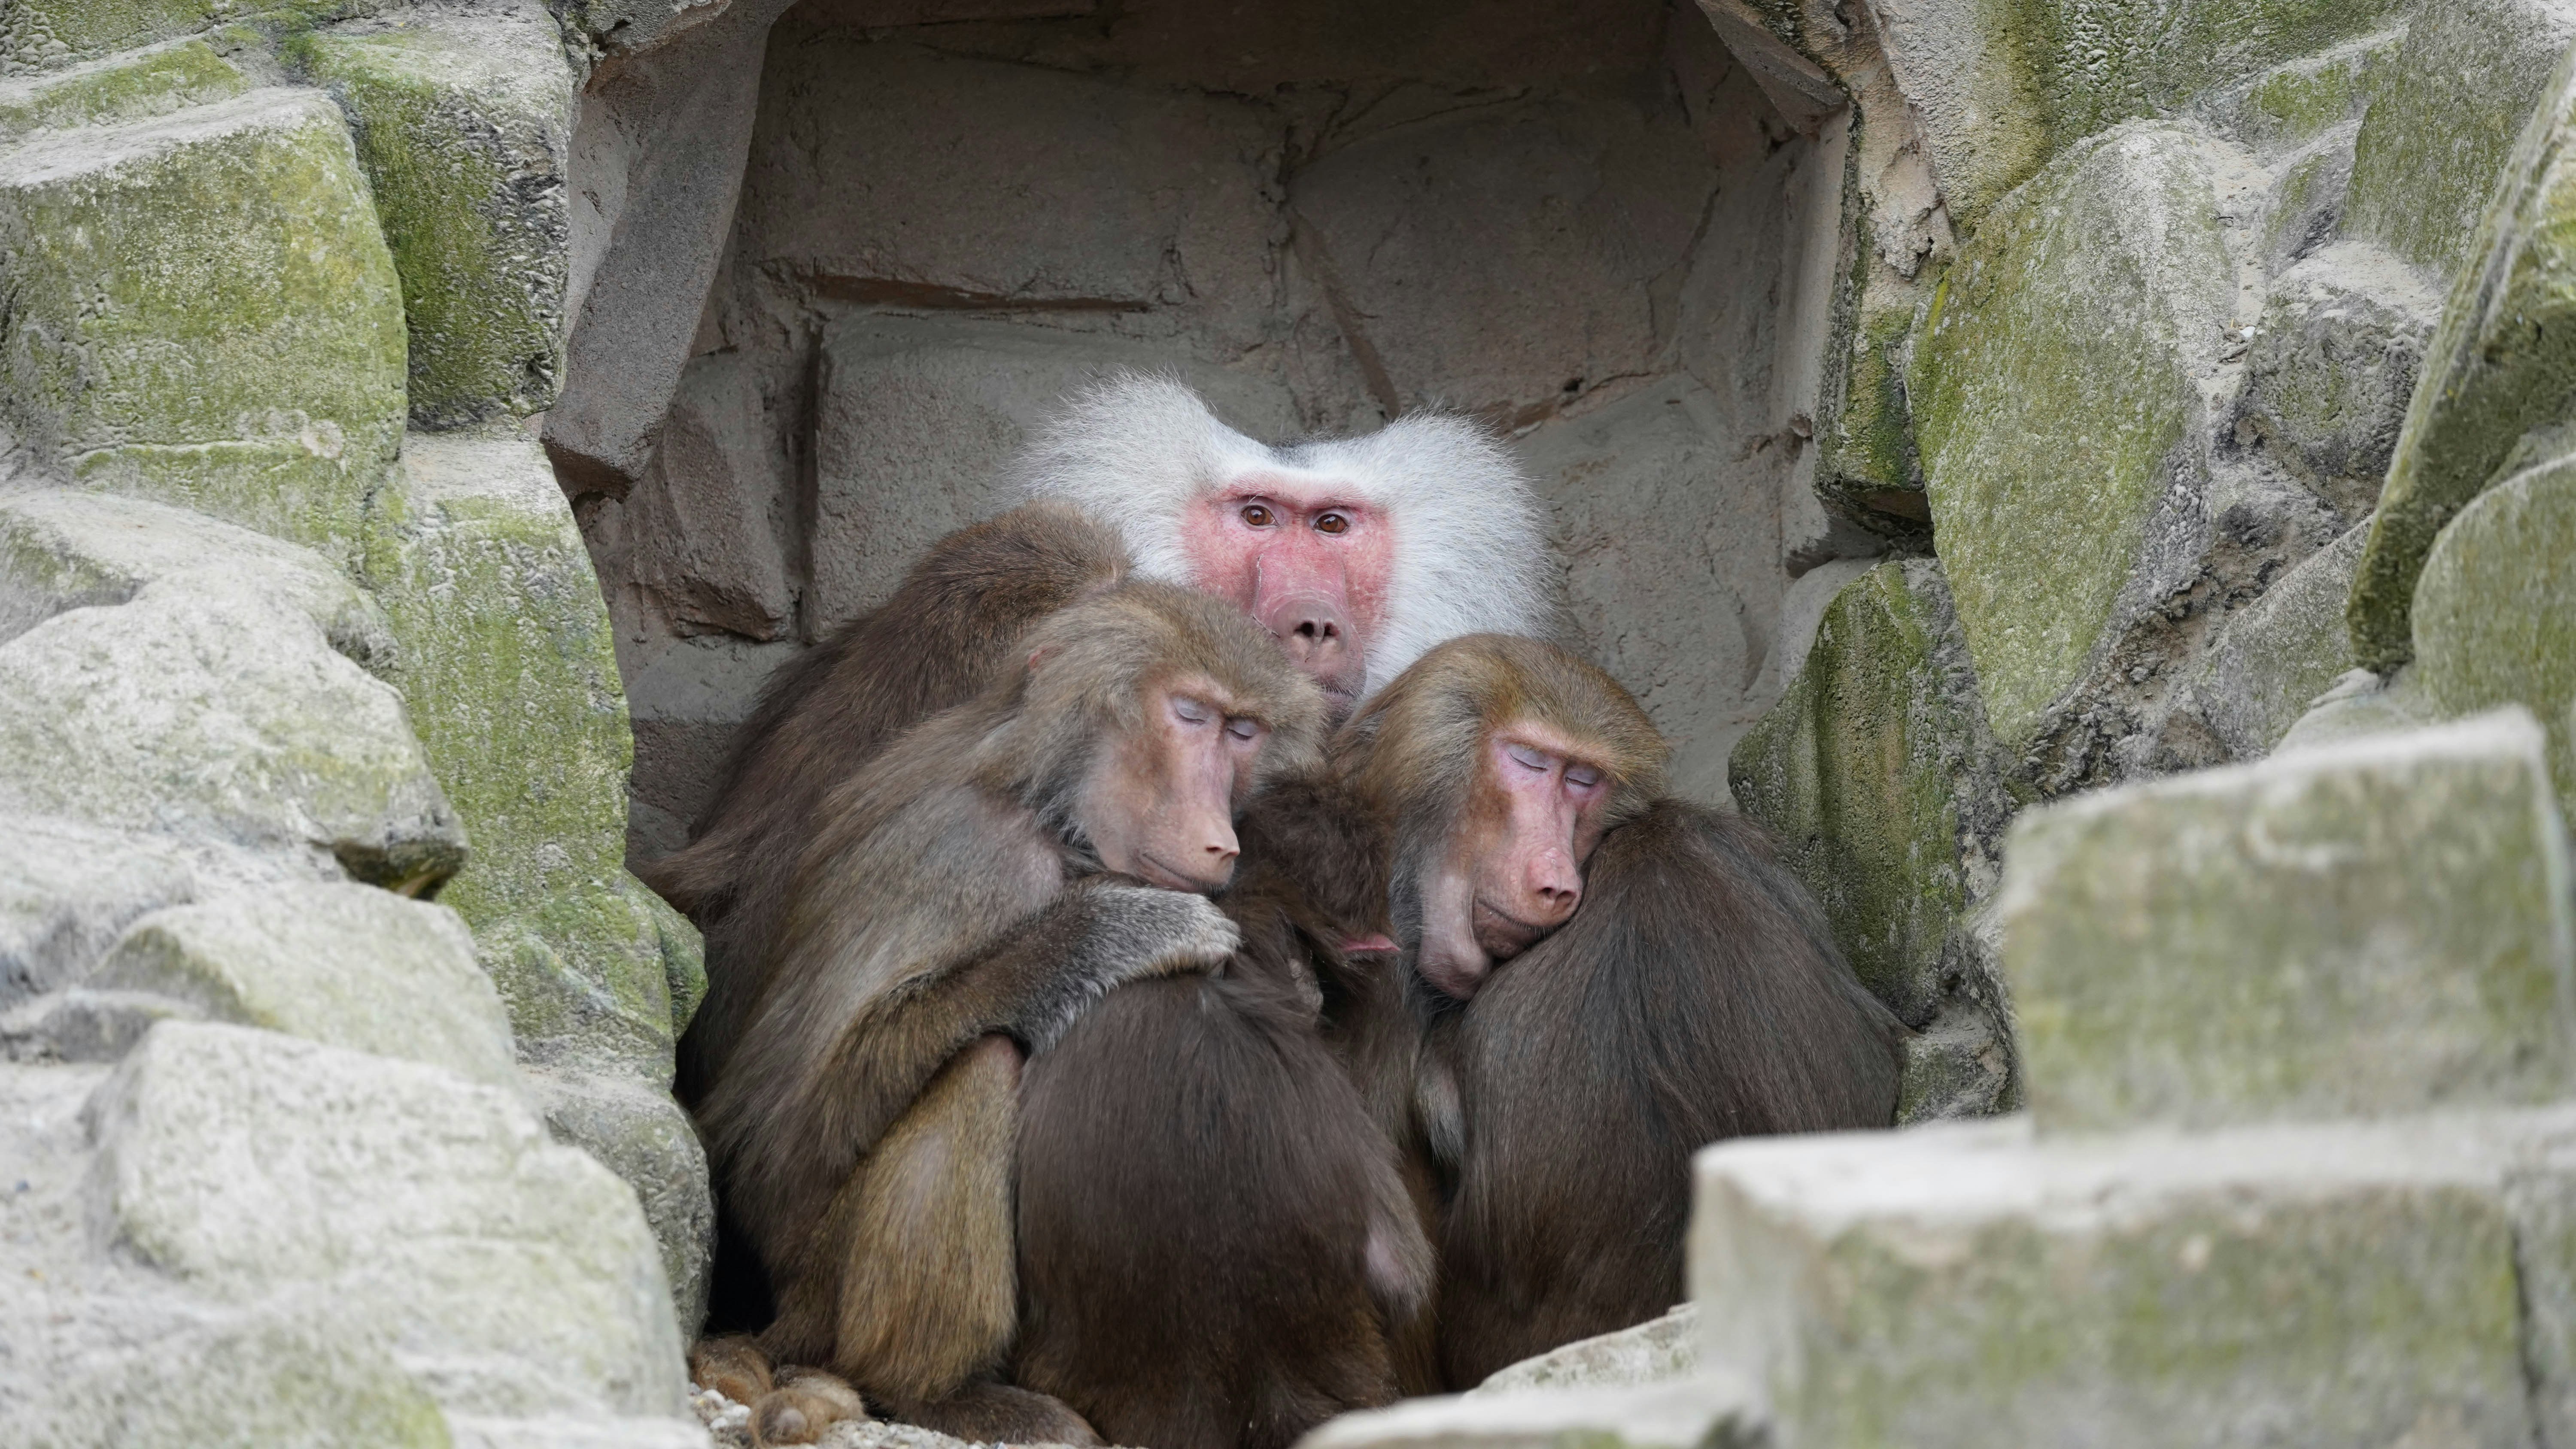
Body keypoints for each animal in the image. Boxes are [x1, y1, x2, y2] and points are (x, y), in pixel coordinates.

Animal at [692, 582, 1328, 1442]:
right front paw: (1096, 937)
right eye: (1191, 715)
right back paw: (935, 1390)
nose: (1220, 839)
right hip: (821, 1290)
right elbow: (784, 1140)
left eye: (1244, 733)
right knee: (981, 1064)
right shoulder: (962, 859)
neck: (1050, 813)